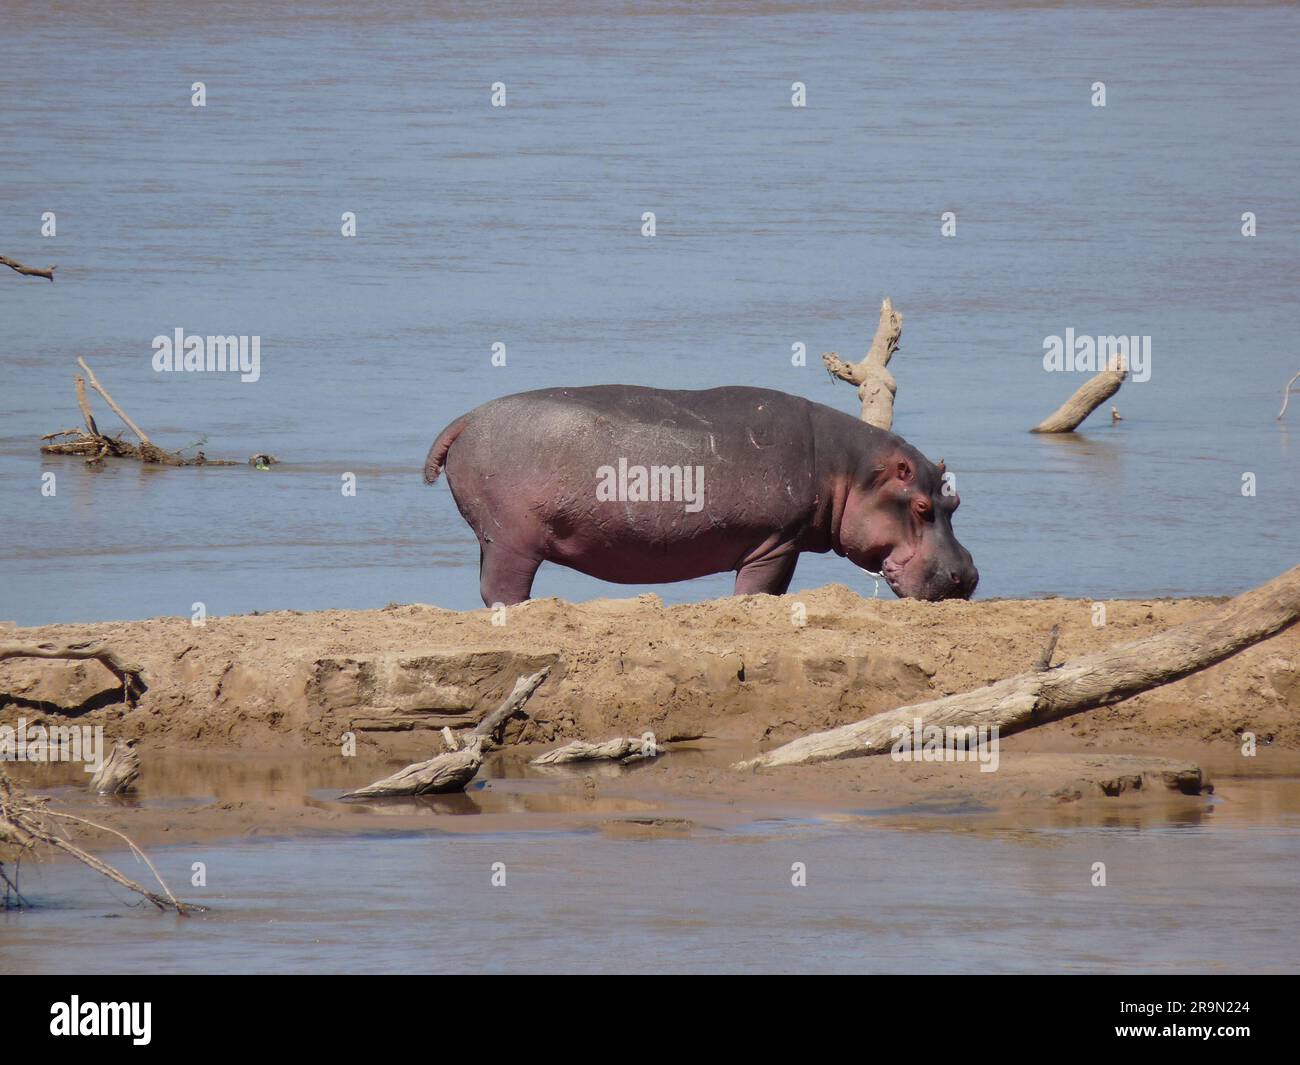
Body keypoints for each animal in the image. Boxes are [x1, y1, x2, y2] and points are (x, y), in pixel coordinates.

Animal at [424, 385, 977, 606]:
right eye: (922, 506)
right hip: (511, 541)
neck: (849, 469)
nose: (968, 576)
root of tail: (464, 419)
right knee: (502, 591)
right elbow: (762, 590)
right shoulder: (777, 540)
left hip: (495, 540)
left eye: (954, 501)